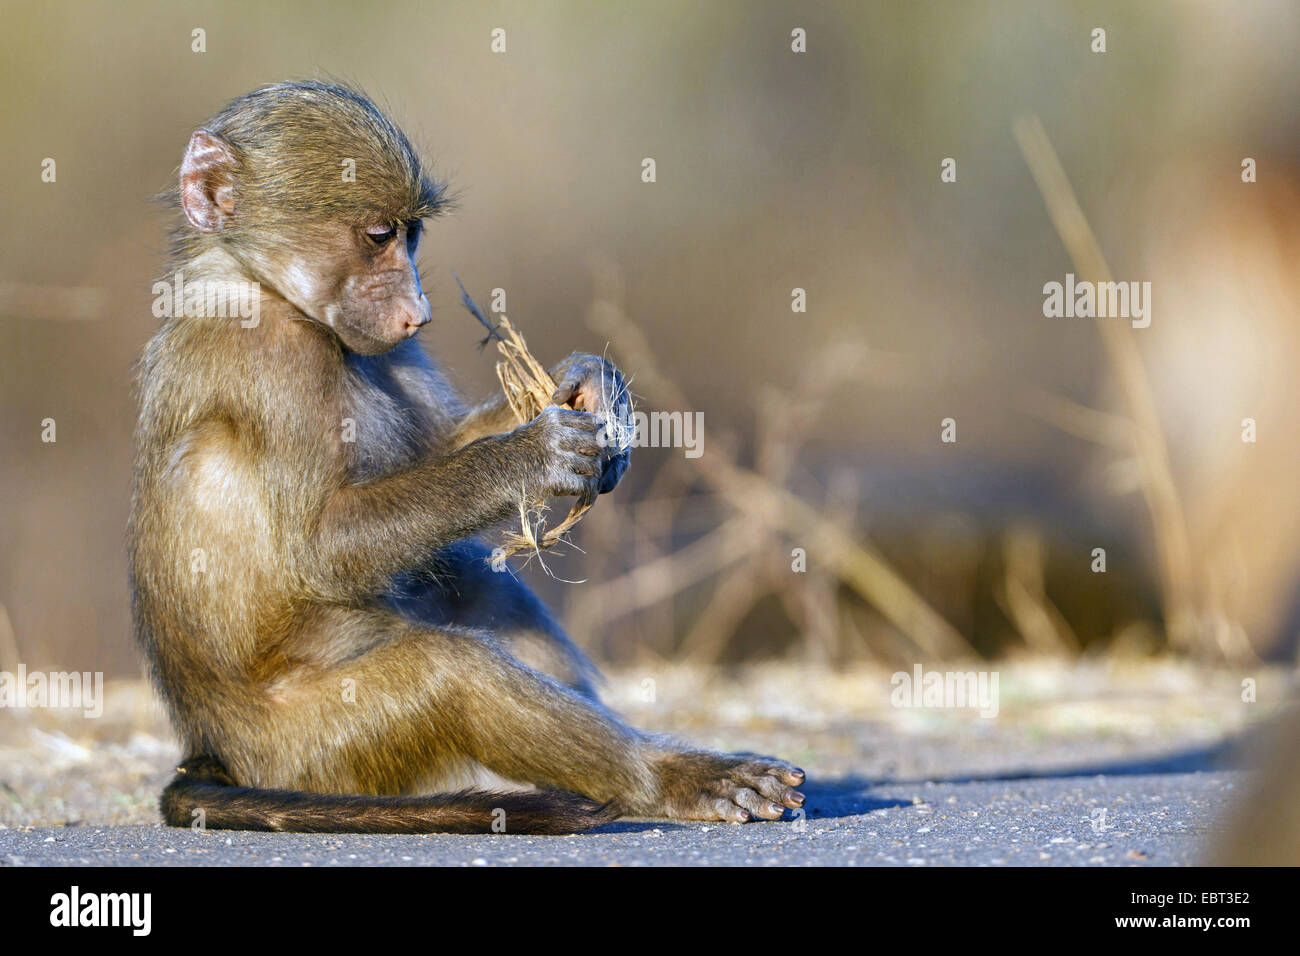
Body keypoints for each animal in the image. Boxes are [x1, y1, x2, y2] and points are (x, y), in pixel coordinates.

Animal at [129, 82, 806, 835]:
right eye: (377, 236)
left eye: (411, 233)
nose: (417, 313)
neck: (256, 286)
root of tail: (214, 750)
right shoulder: (270, 365)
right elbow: (319, 547)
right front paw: (529, 455)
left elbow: (435, 456)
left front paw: (586, 384)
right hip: (314, 750)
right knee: (449, 671)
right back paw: (670, 779)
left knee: (475, 581)